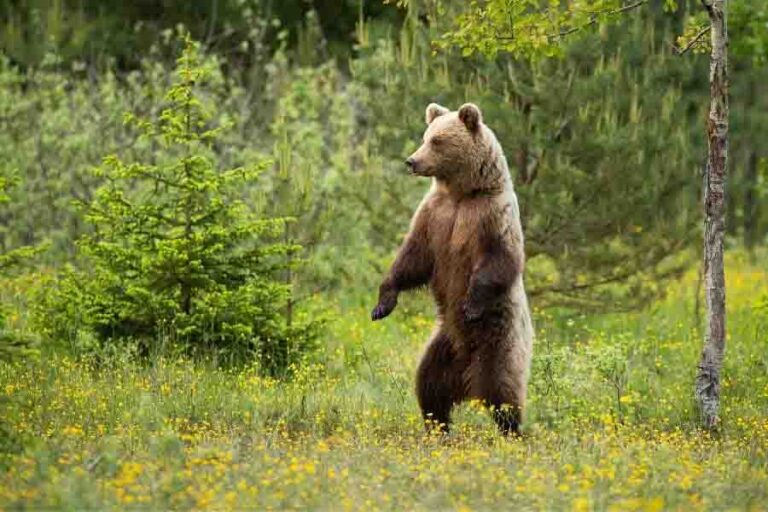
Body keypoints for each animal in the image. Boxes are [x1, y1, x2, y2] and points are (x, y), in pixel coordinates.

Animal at [371, 102, 533, 435]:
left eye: (437, 141)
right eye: (426, 136)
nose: (412, 161)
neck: (461, 193)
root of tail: (468, 386)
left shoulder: (492, 217)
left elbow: (500, 260)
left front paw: (471, 304)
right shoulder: (435, 216)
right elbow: (412, 259)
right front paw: (382, 304)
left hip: (499, 344)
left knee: (504, 394)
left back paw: (512, 432)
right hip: (442, 347)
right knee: (429, 387)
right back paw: (438, 428)